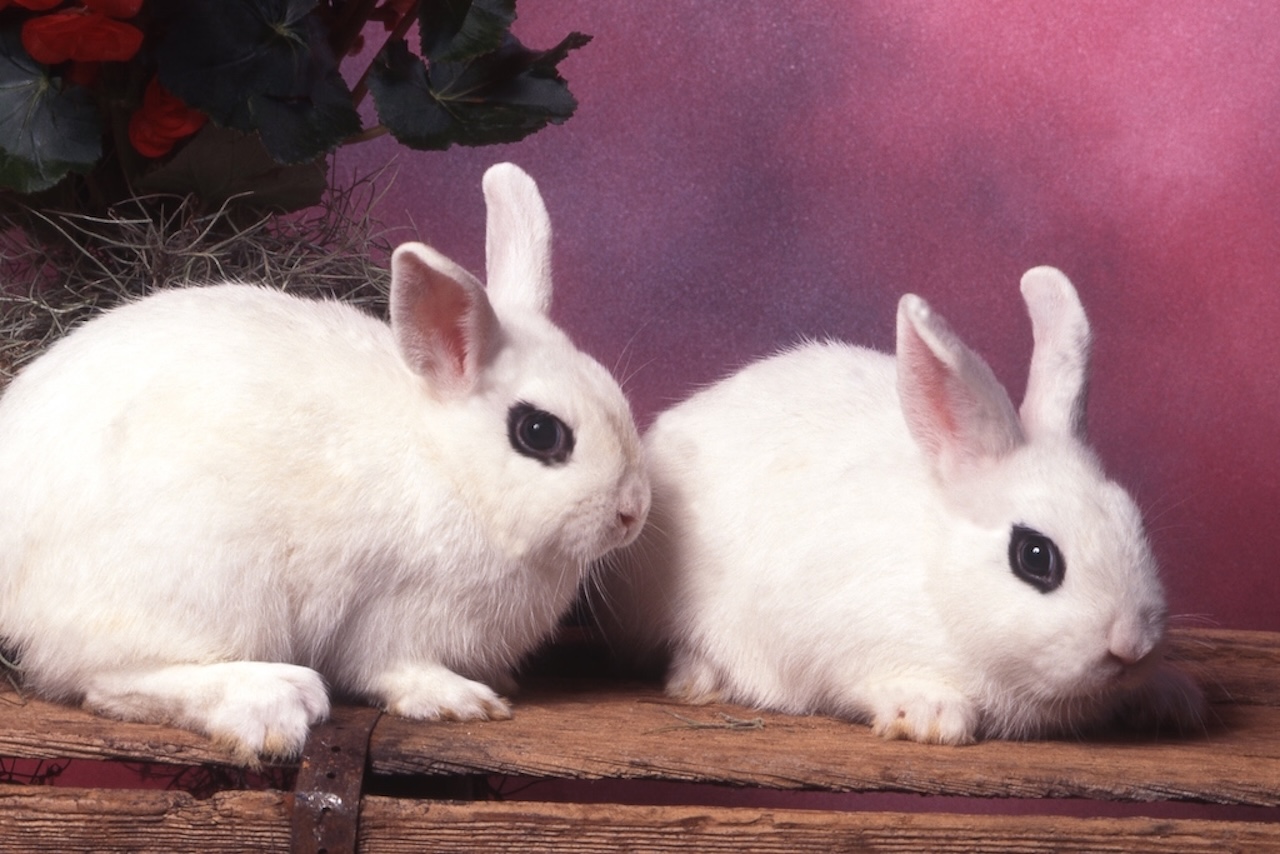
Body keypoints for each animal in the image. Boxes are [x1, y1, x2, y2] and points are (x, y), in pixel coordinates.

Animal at [0, 163, 650, 764]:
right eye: (539, 433)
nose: (632, 512)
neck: (448, 464)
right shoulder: (392, 614)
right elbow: (394, 669)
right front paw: (462, 700)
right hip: (206, 586)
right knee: (107, 682)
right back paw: (276, 699)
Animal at [594, 267, 1203, 744]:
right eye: (1035, 556)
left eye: (1133, 519)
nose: (1131, 645)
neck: (939, 579)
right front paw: (932, 713)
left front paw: (1174, 698)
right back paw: (702, 679)